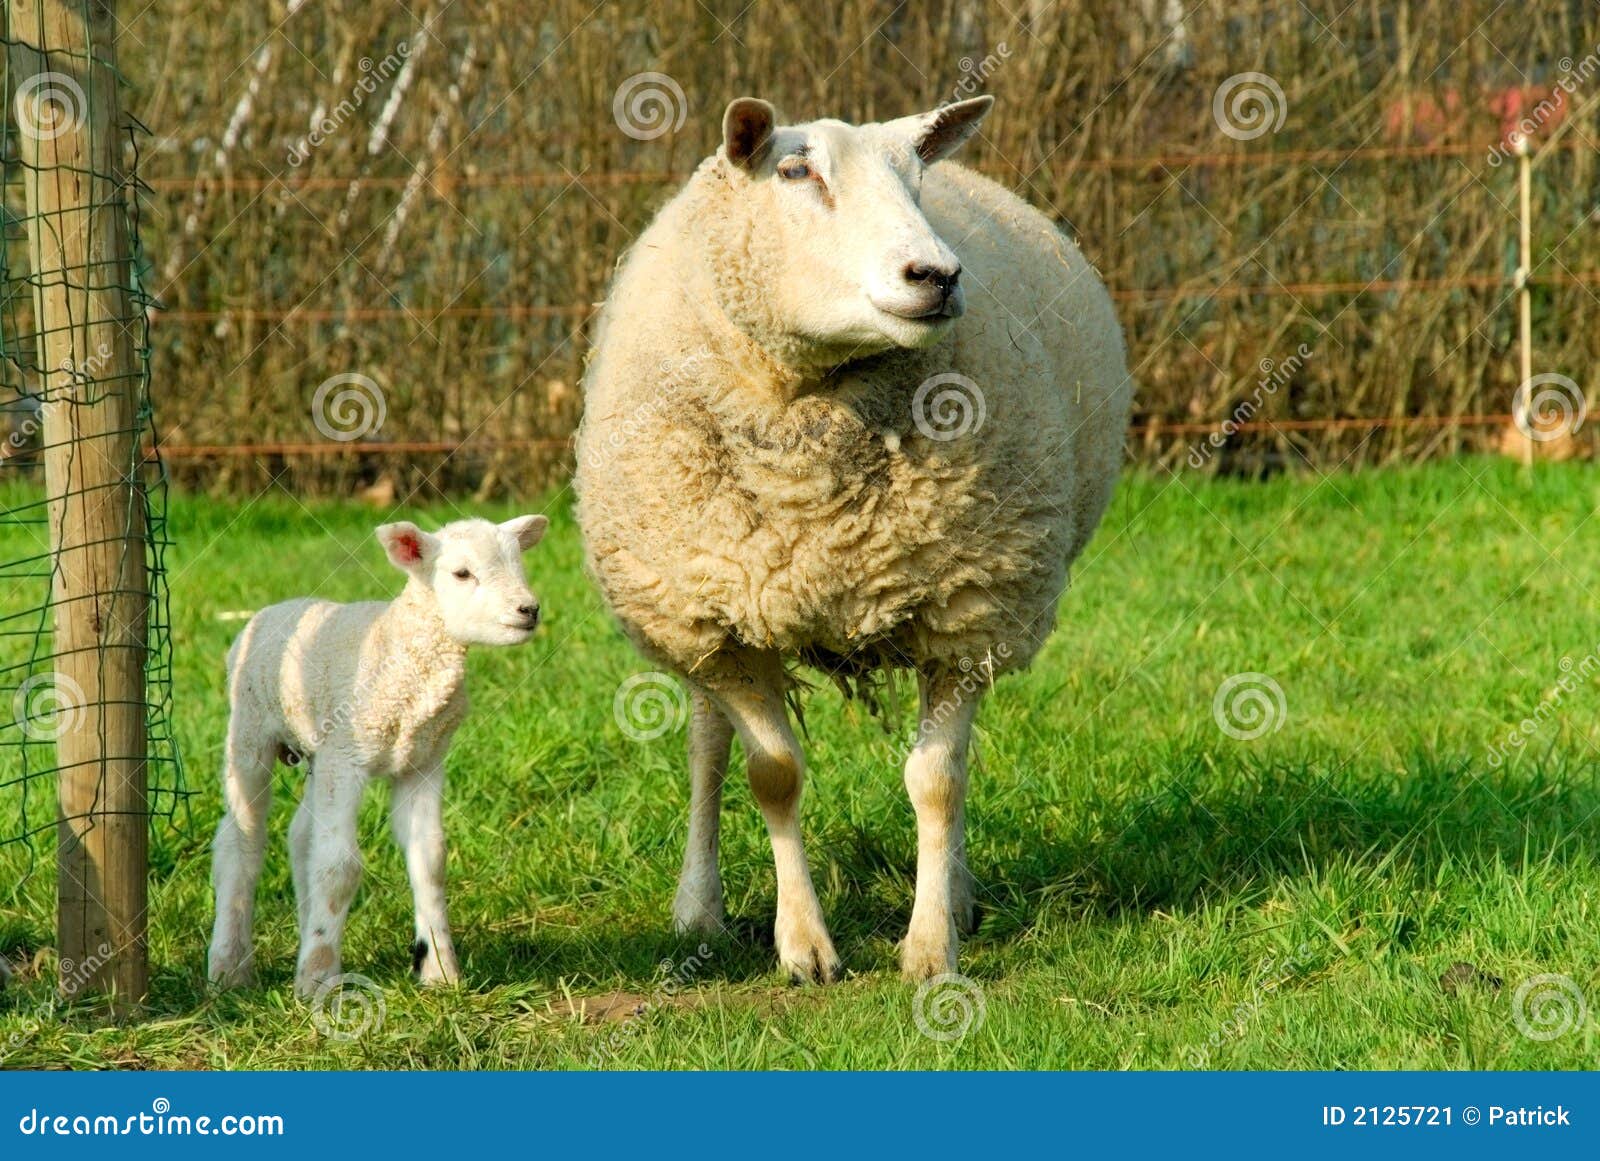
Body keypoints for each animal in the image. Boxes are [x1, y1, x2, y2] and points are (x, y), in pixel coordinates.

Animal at [207, 514, 547, 998]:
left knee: (301, 837)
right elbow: (338, 867)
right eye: (461, 573)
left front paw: (440, 970)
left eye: (518, 563)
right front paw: (318, 980)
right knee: (240, 842)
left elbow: (429, 860)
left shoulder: (422, 761)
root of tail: (274, 608)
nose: (528, 610)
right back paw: (229, 968)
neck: (400, 650)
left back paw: (305, 932)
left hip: (319, 755)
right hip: (251, 733)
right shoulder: (348, 759)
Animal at [574, 95, 1132, 982]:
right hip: (693, 611)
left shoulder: (966, 610)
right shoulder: (722, 617)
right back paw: (698, 909)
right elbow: (771, 773)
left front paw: (931, 946)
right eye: (797, 172)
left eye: (916, 179)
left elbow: (938, 779)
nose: (936, 276)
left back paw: (958, 896)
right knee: (706, 745)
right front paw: (804, 945)